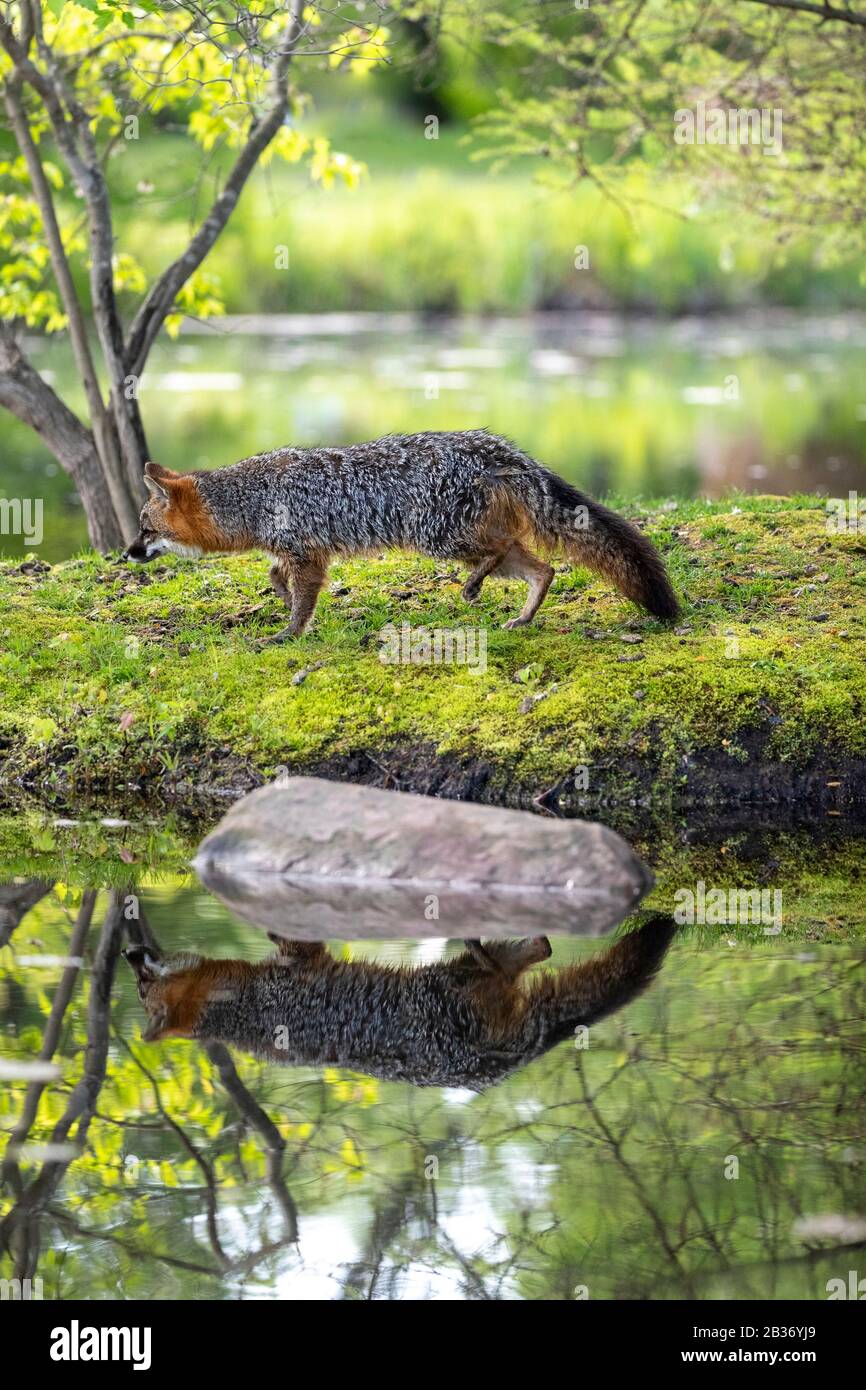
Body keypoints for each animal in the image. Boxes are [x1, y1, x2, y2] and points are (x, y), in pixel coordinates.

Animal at [122, 430, 679, 638]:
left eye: (145, 529)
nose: (125, 554)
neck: (251, 497)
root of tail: (494, 447)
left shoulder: (308, 556)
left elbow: (299, 599)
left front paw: (289, 634)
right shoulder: (301, 553)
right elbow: (276, 577)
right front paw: (283, 602)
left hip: (442, 539)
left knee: (500, 552)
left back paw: (473, 588)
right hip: (466, 539)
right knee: (544, 568)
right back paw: (522, 617)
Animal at [123, 916, 676, 1091]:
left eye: (139, 980)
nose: (128, 951)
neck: (239, 1005)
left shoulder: (298, 961)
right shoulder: (301, 963)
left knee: (539, 948)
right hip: (454, 980)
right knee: (533, 950)